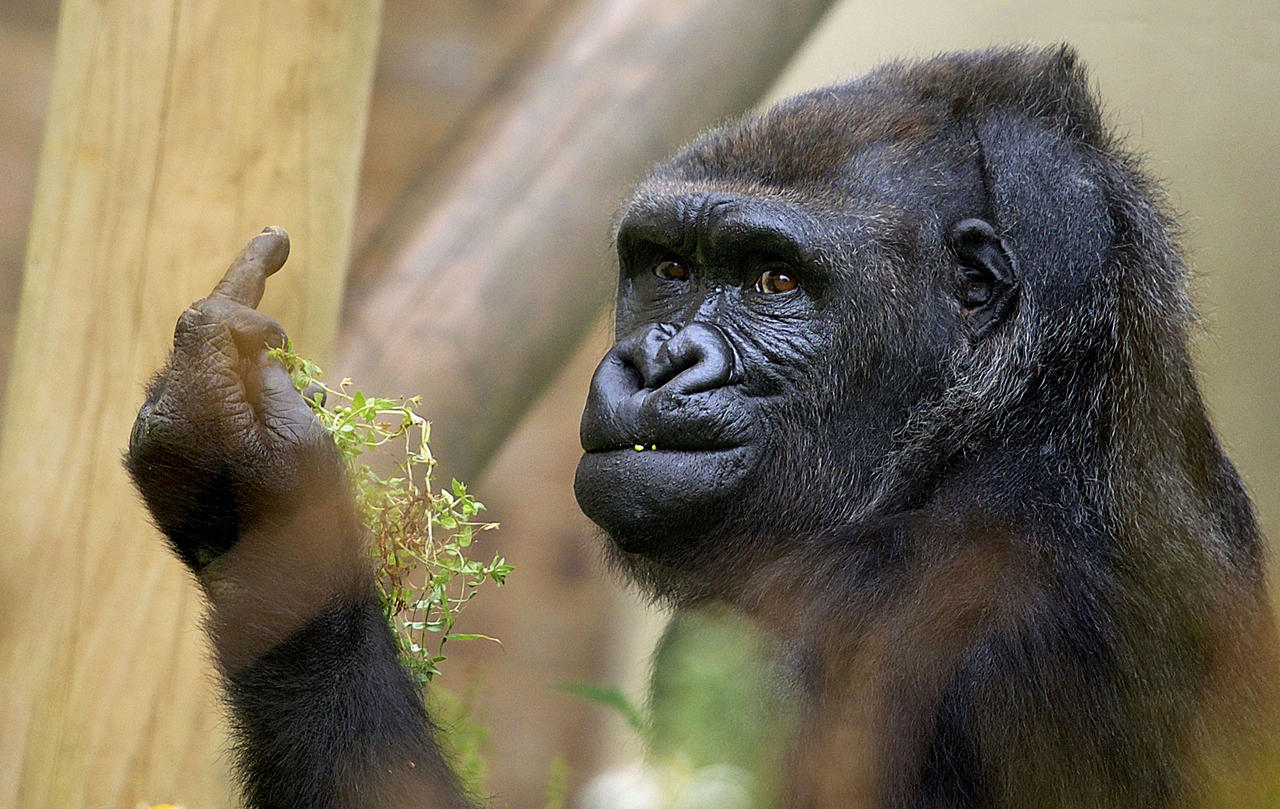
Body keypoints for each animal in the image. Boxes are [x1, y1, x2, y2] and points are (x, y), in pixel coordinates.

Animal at [126, 45, 1280, 808]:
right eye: (668, 269)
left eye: (775, 280)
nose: (654, 361)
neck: (1007, 422)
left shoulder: (840, 630)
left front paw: (250, 488)